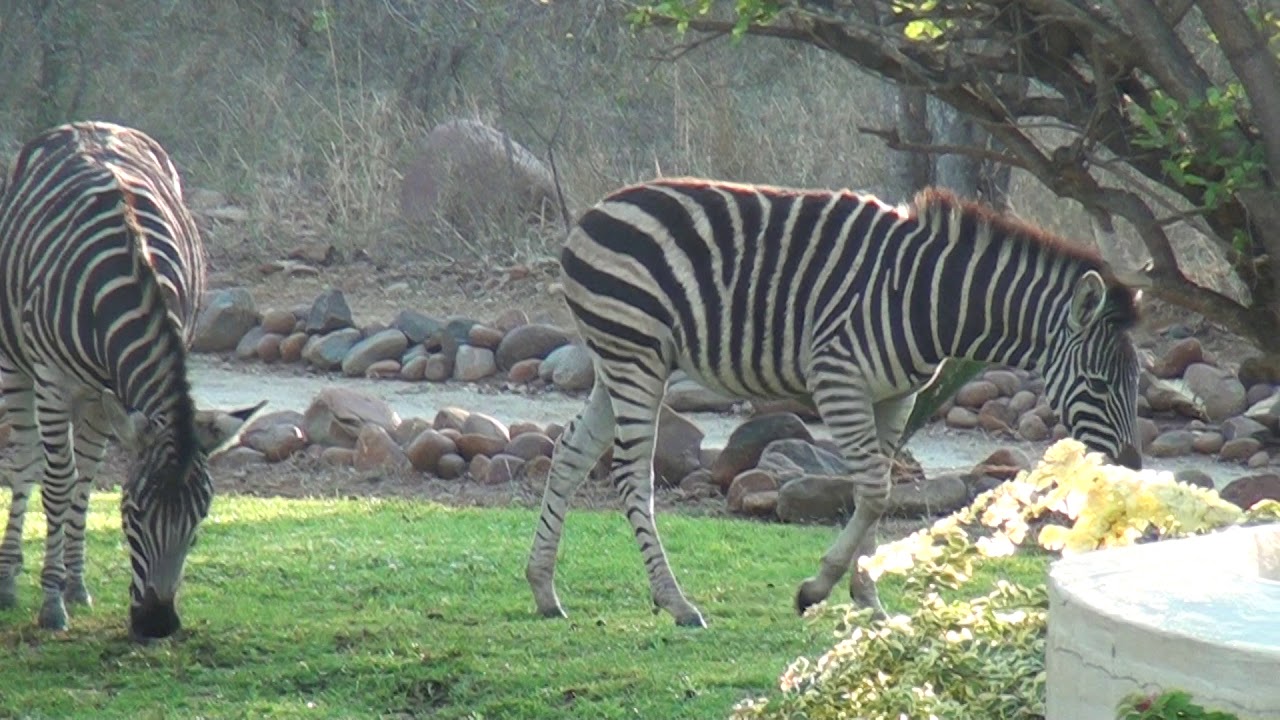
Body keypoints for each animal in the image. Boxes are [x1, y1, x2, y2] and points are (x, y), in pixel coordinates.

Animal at [0, 121, 263, 640]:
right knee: (26, 462)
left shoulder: (114, 391)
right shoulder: (53, 381)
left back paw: (73, 581)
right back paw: (10, 578)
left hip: (96, 398)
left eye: (200, 519)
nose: (158, 623)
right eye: (132, 513)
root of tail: (87, 125)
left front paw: (70, 587)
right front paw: (50, 603)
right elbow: (57, 485)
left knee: (84, 468)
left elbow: (82, 481)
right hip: (16, 364)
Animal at [525, 177, 1142, 627]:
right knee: (632, 473)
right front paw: (816, 589)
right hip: (636, 354)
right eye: (1097, 384)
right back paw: (674, 602)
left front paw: (867, 598)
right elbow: (875, 490)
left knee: (571, 452)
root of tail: (597, 210)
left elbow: (877, 492)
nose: (1133, 469)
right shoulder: (838, 380)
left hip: (620, 358)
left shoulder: (895, 398)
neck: (932, 300)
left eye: (1135, 383)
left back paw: (543, 588)